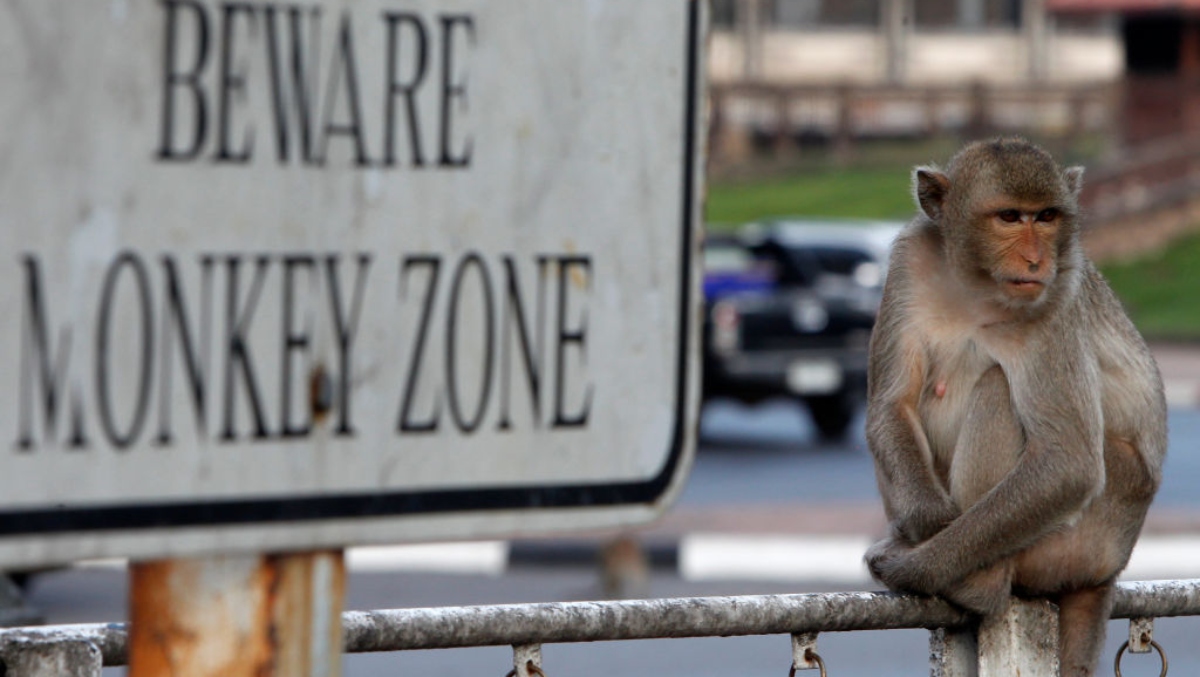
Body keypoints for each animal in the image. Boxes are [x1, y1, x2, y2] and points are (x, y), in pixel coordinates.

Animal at [863, 137, 1166, 676]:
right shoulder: (908, 259)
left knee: (998, 389)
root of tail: (1112, 566)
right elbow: (891, 405)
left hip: (1082, 535)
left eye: (1046, 216)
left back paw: (976, 585)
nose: (1034, 260)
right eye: (1009, 217)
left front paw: (918, 565)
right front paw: (927, 522)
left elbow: (1068, 464)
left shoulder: (1057, 297)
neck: (977, 284)